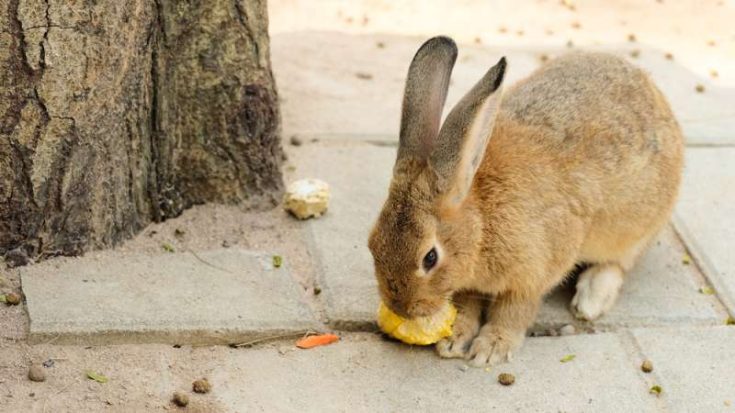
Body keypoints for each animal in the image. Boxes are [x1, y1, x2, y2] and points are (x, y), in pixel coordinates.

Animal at [367, 36, 683, 367]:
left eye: (430, 257)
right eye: (372, 243)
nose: (401, 308)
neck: (480, 226)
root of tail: (652, 89)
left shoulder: (535, 272)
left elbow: (514, 311)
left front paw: (490, 348)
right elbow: (467, 305)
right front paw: (454, 339)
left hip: (637, 229)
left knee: (619, 263)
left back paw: (591, 298)